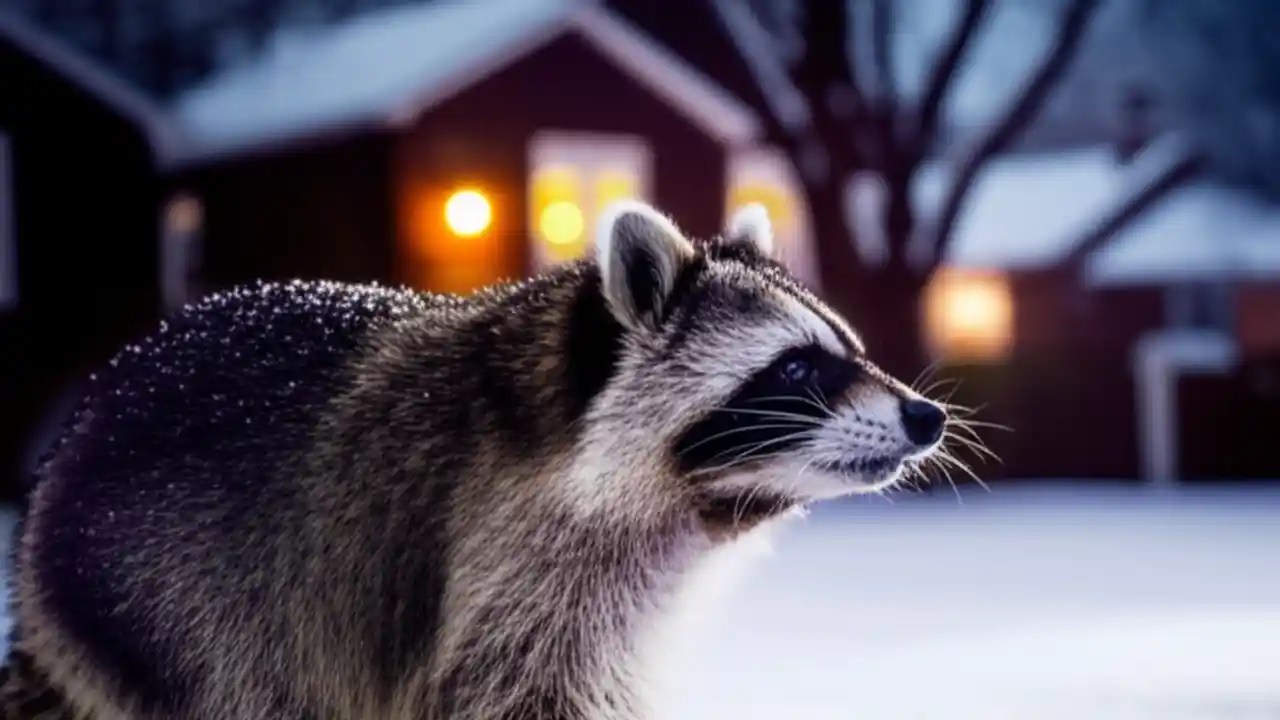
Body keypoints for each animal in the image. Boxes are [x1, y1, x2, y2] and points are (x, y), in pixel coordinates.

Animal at [4, 202, 947, 719]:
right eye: (797, 369)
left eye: (852, 352)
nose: (927, 414)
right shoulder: (500, 566)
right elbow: (514, 694)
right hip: (166, 605)